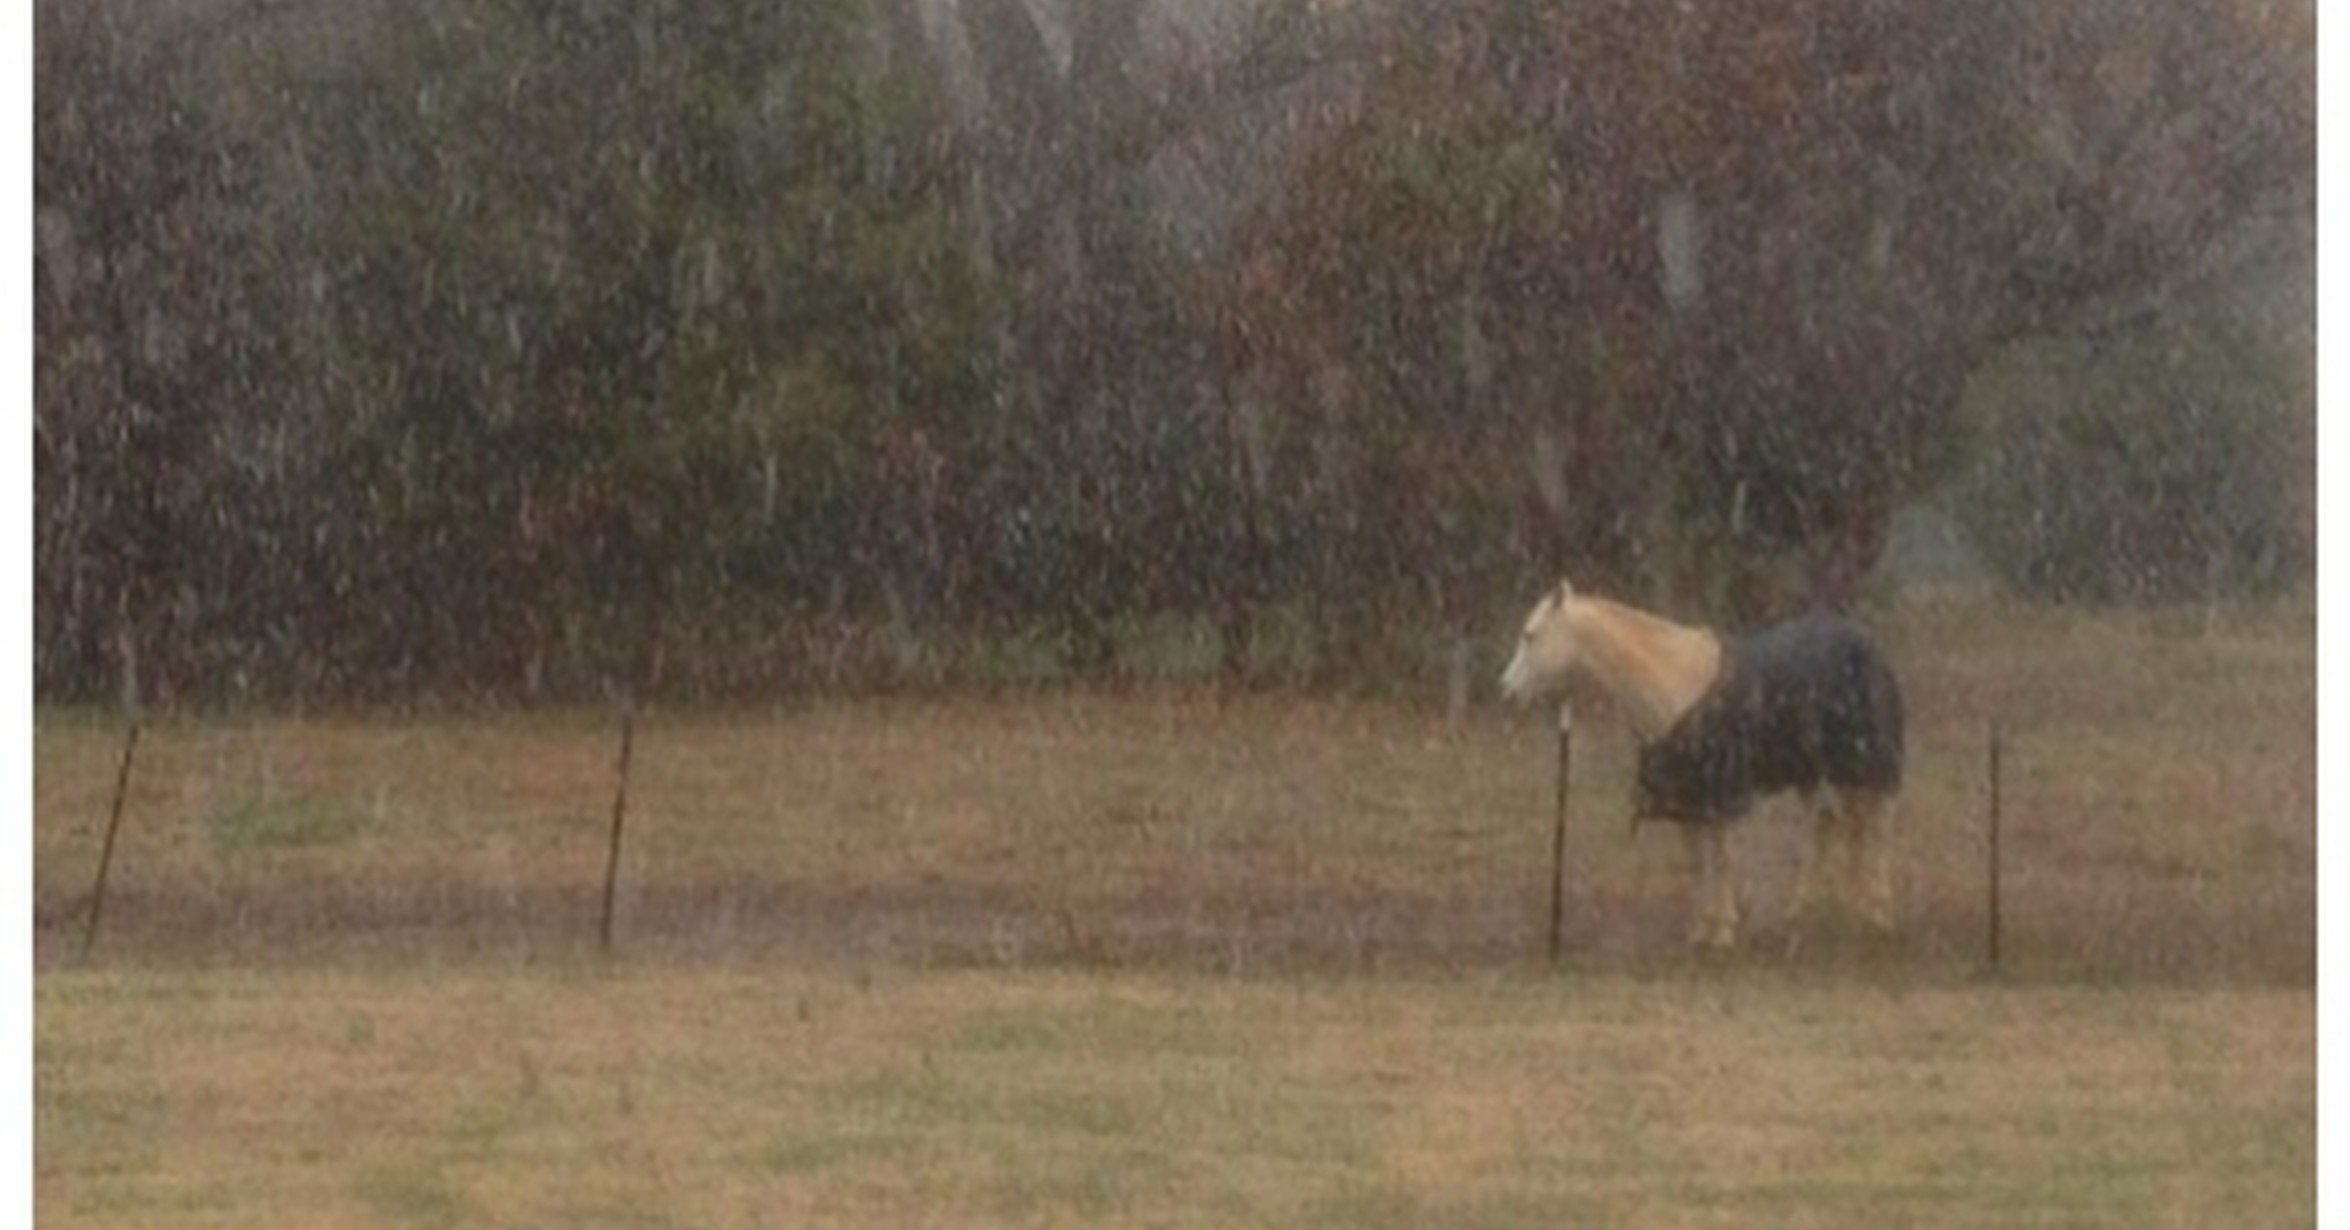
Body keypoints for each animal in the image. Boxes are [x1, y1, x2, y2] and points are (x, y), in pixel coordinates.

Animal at [1499, 577, 1905, 949]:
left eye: (1531, 636)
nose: (1507, 691)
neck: (1675, 684)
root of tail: (1866, 643)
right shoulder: (1686, 798)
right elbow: (1696, 862)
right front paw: (1700, 931)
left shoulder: (1720, 794)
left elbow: (1722, 858)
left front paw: (1724, 932)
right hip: (1814, 774)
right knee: (1831, 828)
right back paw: (1804, 914)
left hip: (1867, 767)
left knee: (1878, 829)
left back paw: (1877, 915)